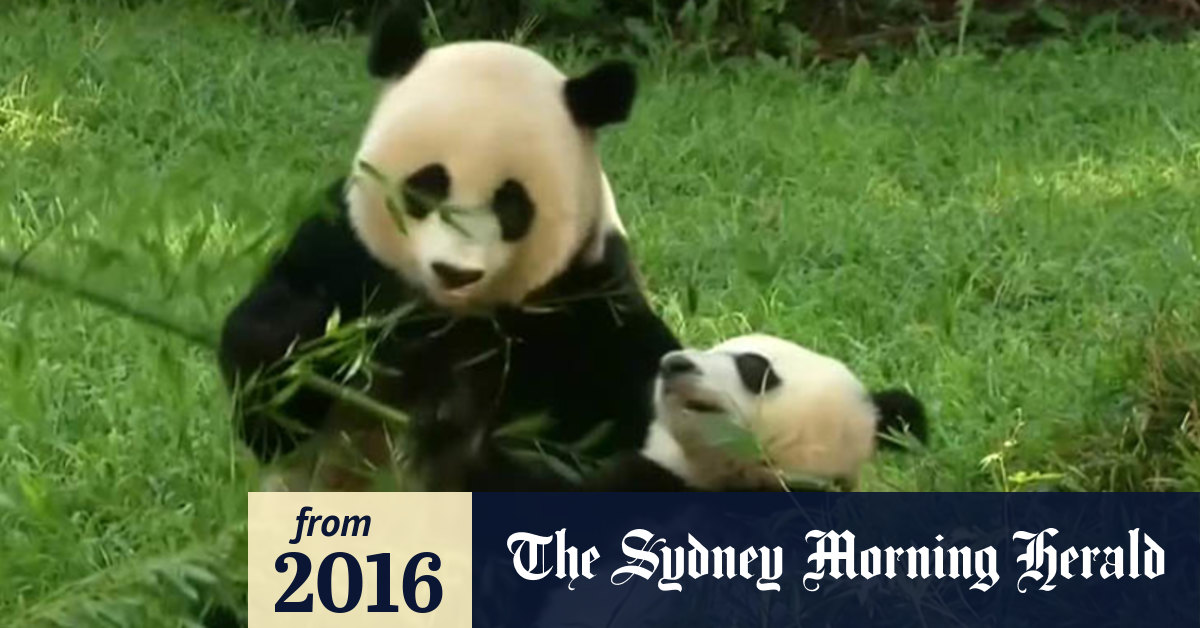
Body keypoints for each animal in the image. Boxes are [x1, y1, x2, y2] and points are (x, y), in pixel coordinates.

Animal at [217, 0, 680, 492]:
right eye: (426, 187)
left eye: (512, 204)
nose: (454, 272)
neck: (449, 313)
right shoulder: (349, 248)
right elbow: (275, 400)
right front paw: (299, 346)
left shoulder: (584, 294)